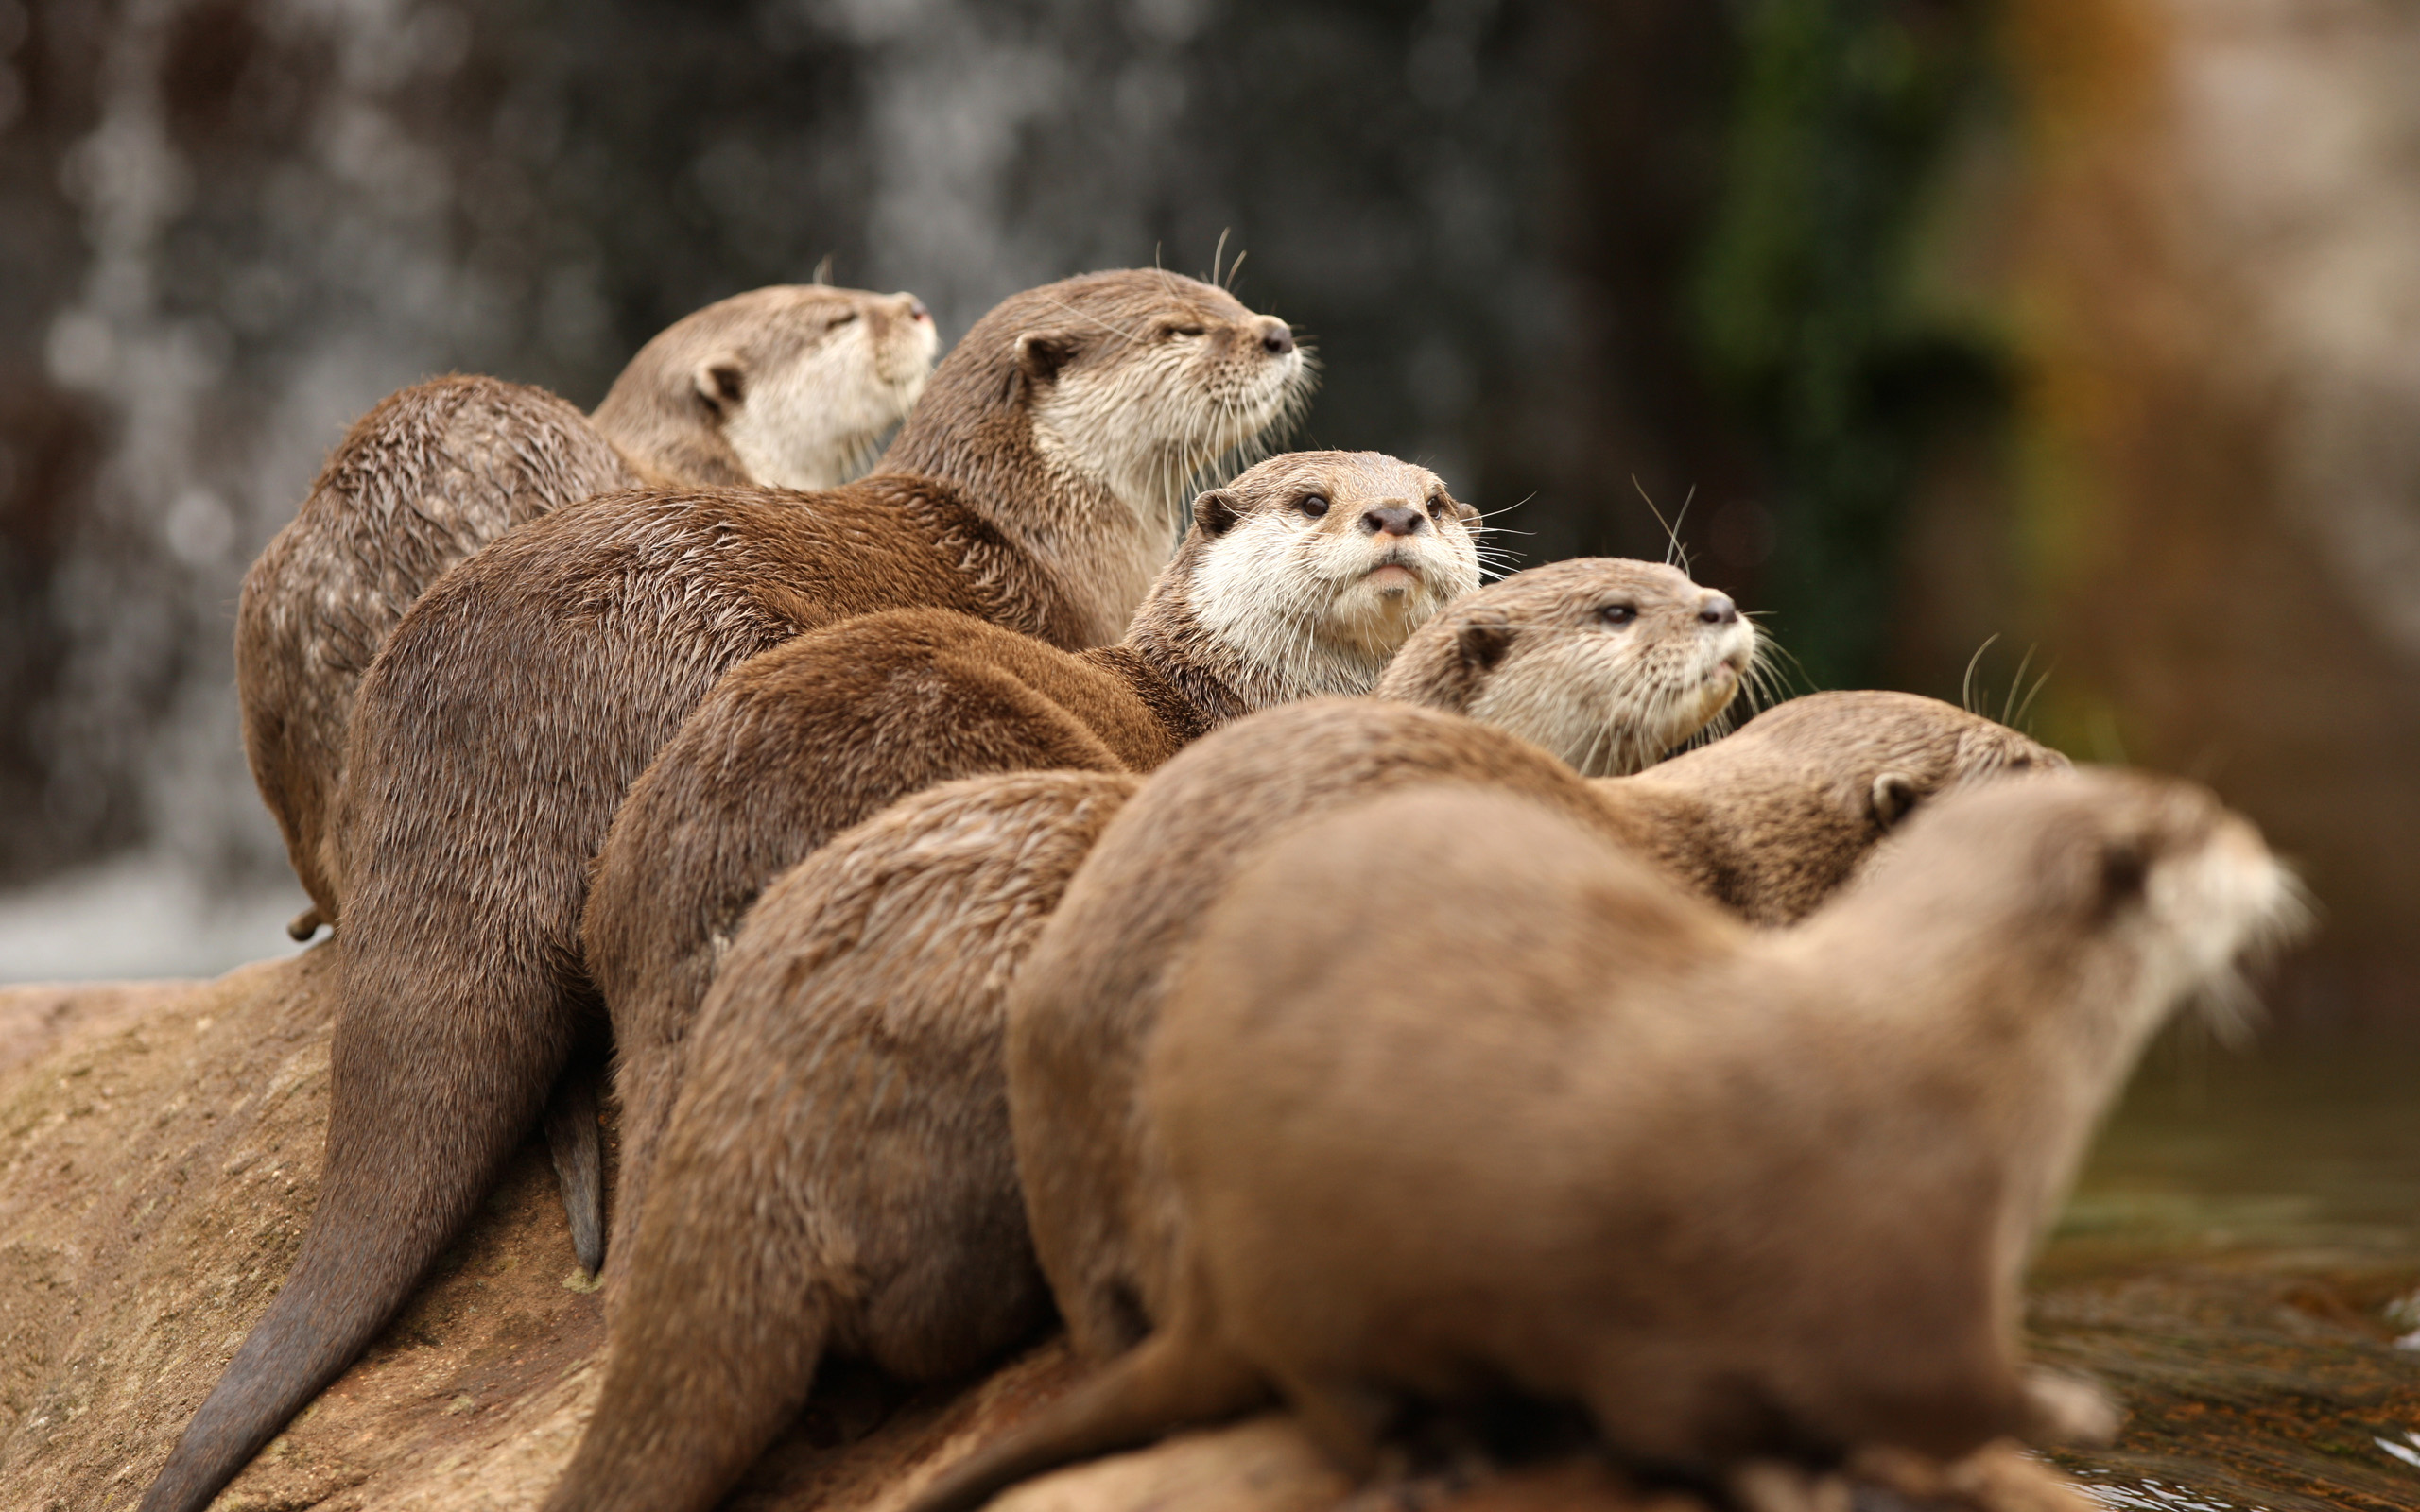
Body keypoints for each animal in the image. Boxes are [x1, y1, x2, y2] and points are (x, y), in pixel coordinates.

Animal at [908, 770, 2302, 1512]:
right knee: (1333, 1393)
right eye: (2203, 818)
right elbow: (1875, 1396)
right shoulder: (1895, 1257)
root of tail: (1201, 1273)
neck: (1949, 1050)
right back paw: (1440, 1451)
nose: (2270, 845)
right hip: (1310, 1254)